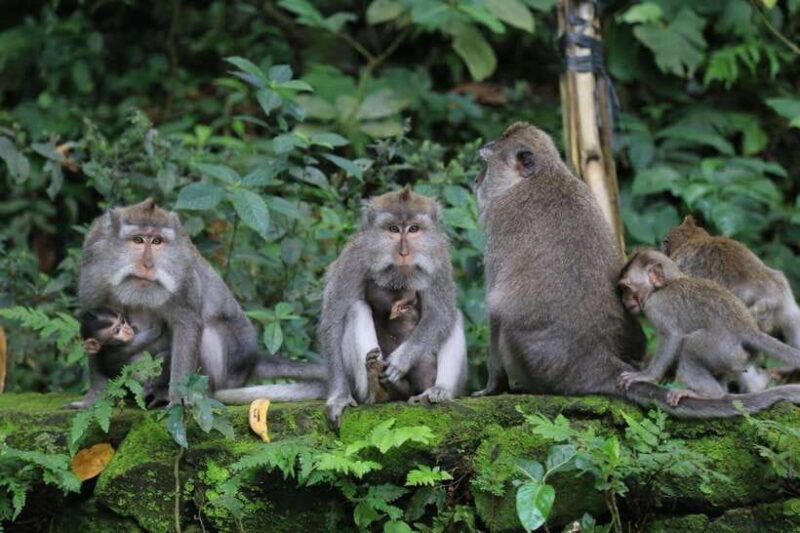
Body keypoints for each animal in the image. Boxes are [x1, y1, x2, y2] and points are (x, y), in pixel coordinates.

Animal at [78, 198, 327, 407]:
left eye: (157, 241)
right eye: (138, 240)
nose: (148, 265)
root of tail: (251, 360)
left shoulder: (184, 272)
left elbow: (188, 324)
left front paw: (176, 400)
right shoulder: (93, 262)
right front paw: (93, 398)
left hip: (229, 371)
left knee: (207, 332)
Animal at [319, 188, 468, 430]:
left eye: (414, 229)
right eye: (394, 229)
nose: (404, 252)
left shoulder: (439, 259)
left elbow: (441, 313)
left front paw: (401, 361)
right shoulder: (354, 258)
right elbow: (334, 319)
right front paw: (339, 396)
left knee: (454, 317)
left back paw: (437, 390)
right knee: (356, 309)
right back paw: (376, 389)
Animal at [617, 250, 800, 405]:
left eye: (627, 287)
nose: (624, 300)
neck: (666, 284)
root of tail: (749, 330)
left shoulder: (656, 307)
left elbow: (672, 337)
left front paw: (646, 376)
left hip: (721, 347)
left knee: (689, 346)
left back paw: (710, 394)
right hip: (736, 358)